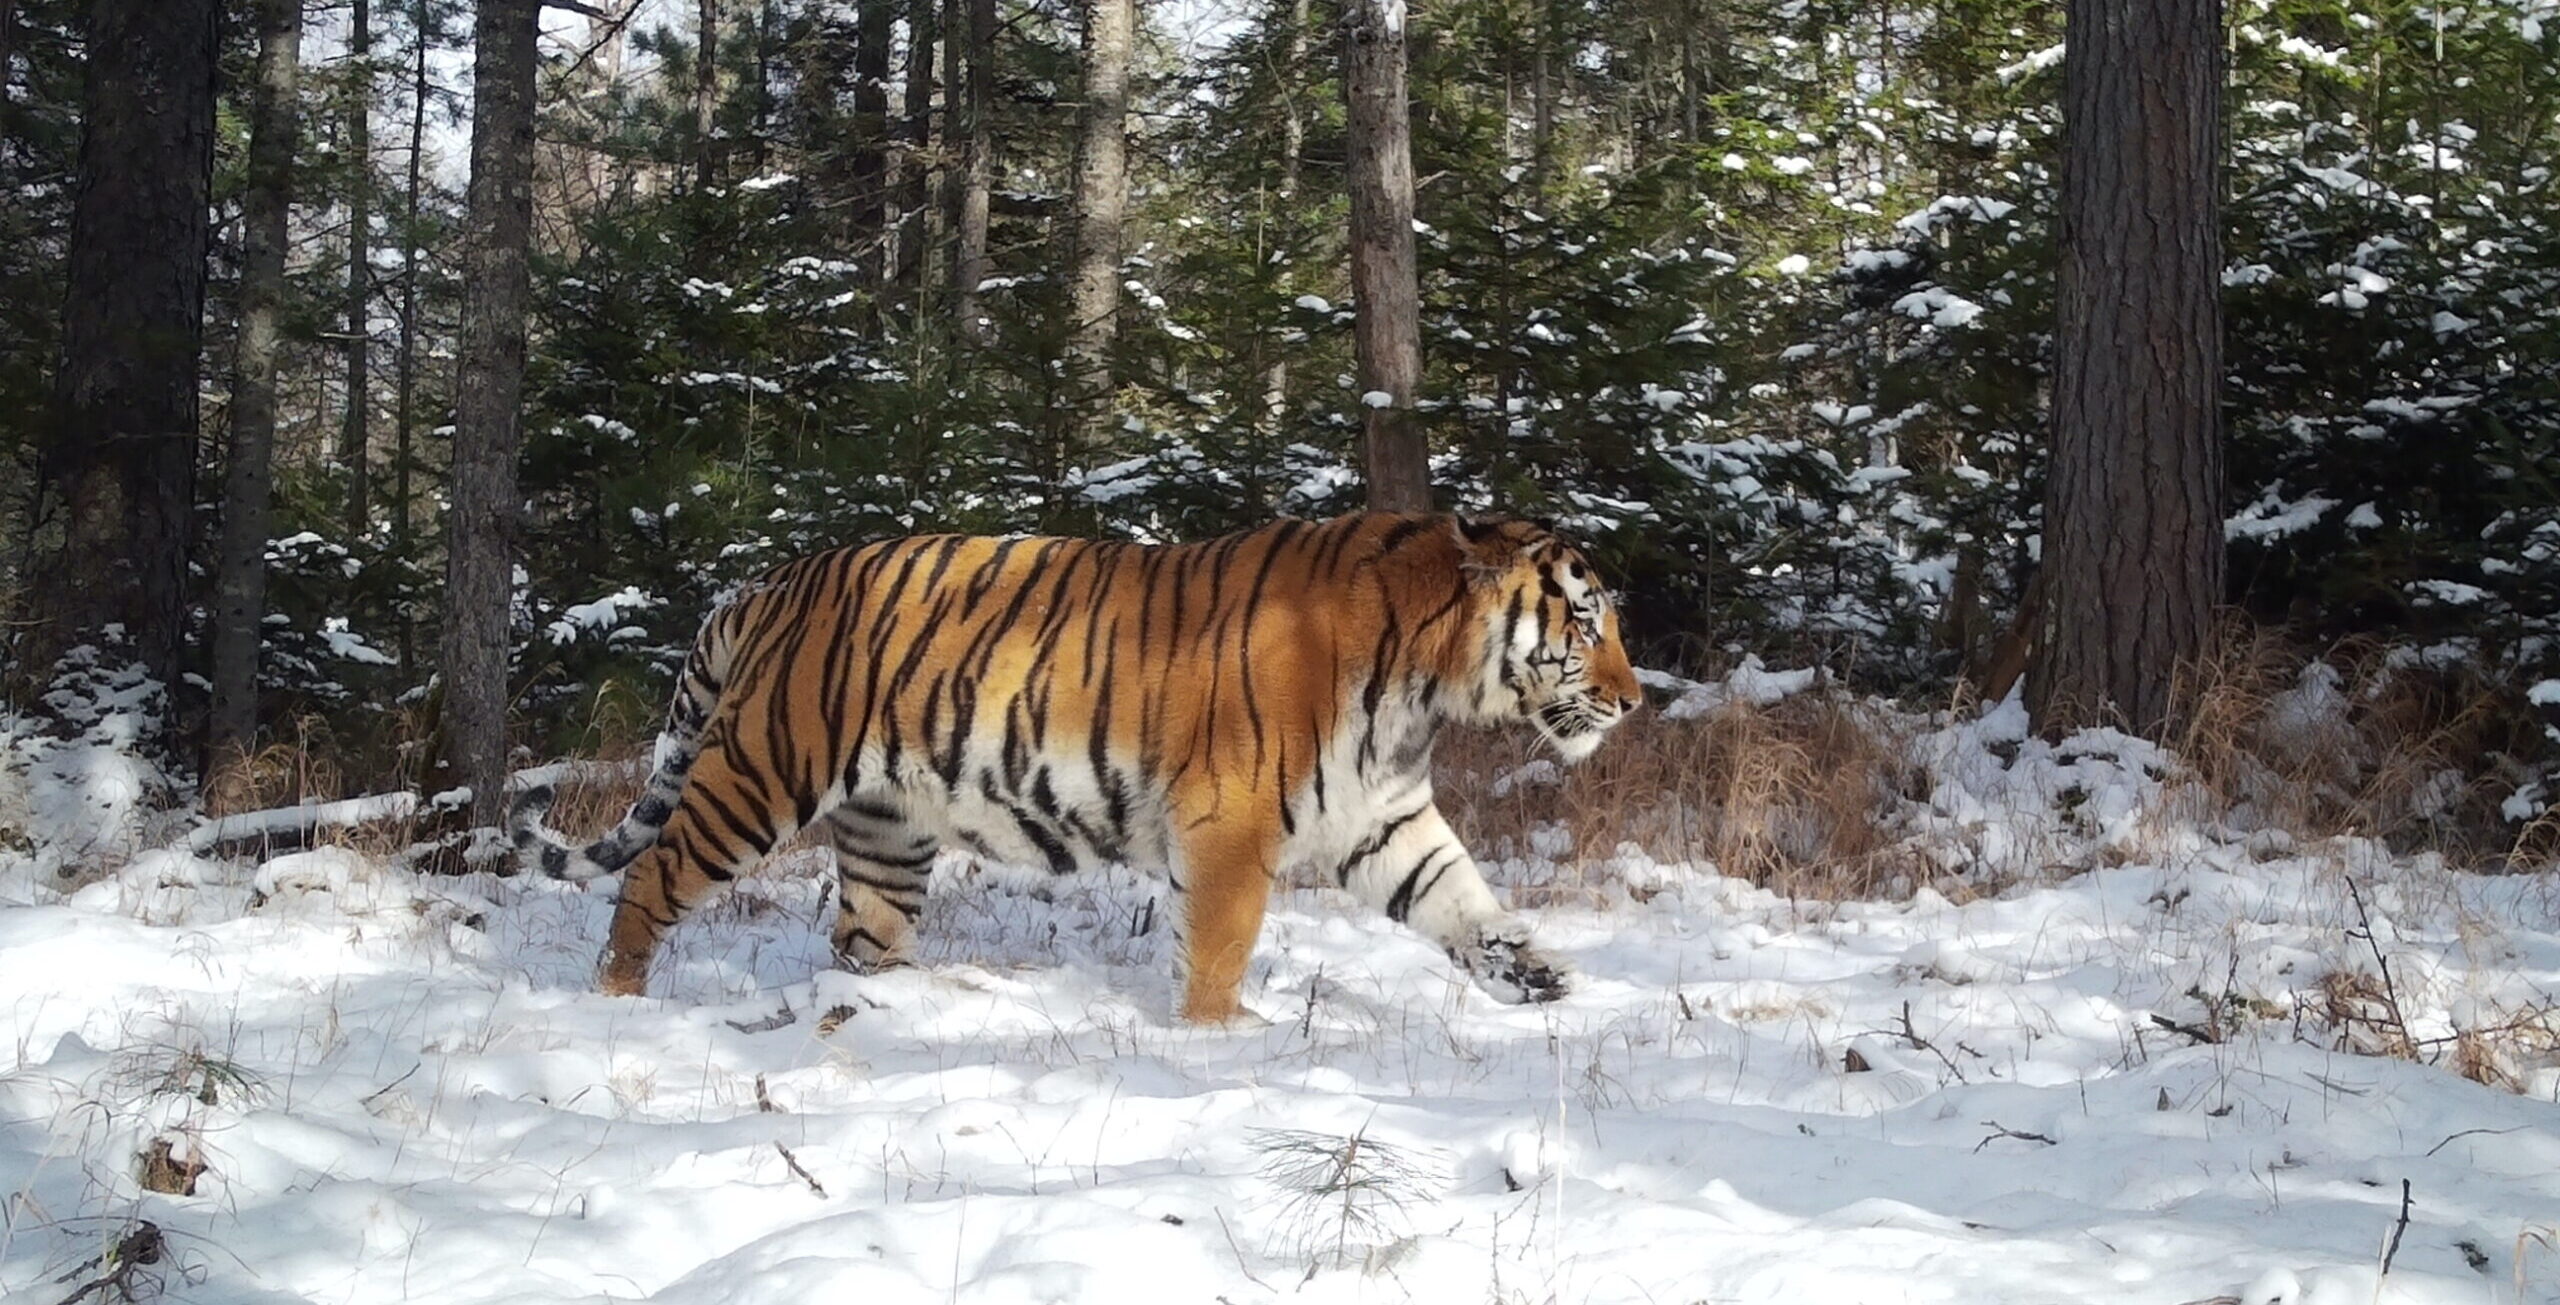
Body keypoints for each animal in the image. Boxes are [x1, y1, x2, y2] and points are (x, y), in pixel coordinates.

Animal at [511, 511, 1644, 1023]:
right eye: (1586, 623)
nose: (1636, 700)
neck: (1422, 685)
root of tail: (763, 584)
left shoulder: (1386, 815)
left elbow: (1462, 901)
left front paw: (1533, 977)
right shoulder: (1230, 823)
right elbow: (1220, 943)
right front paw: (1221, 1038)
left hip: (885, 831)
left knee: (861, 934)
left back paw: (886, 1012)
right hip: (758, 772)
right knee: (652, 877)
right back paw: (618, 998)